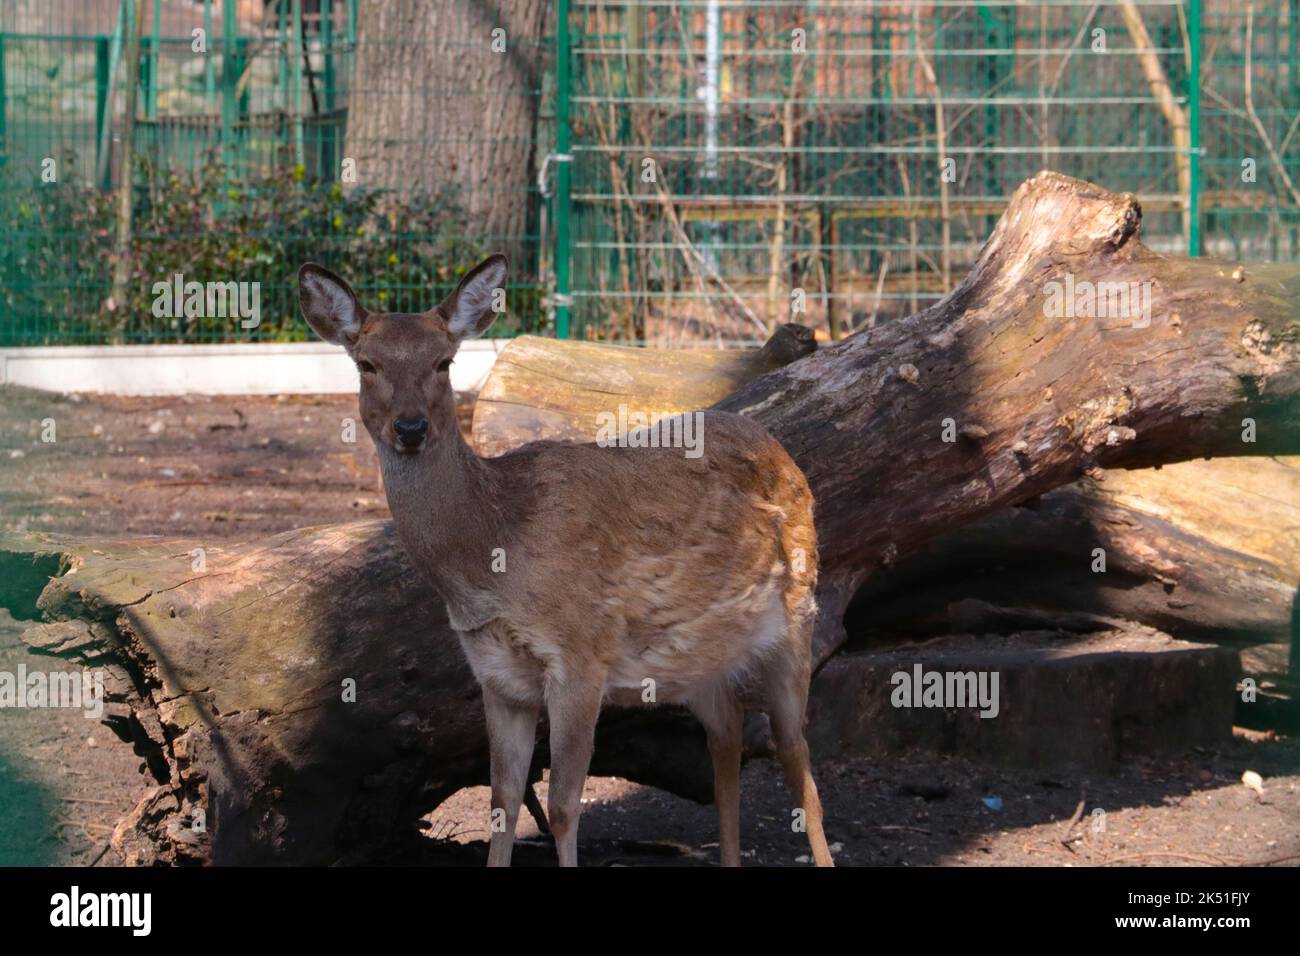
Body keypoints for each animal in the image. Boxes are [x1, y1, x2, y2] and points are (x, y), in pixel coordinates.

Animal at [298, 255, 833, 867]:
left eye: (444, 361)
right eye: (366, 363)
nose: (410, 428)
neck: (492, 561)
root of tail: (782, 450)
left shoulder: (582, 654)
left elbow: (560, 806)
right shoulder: (497, 676)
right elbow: (503, 800)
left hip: (800, 612)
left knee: (797, 756)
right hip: (699, 661)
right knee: (727, 733)